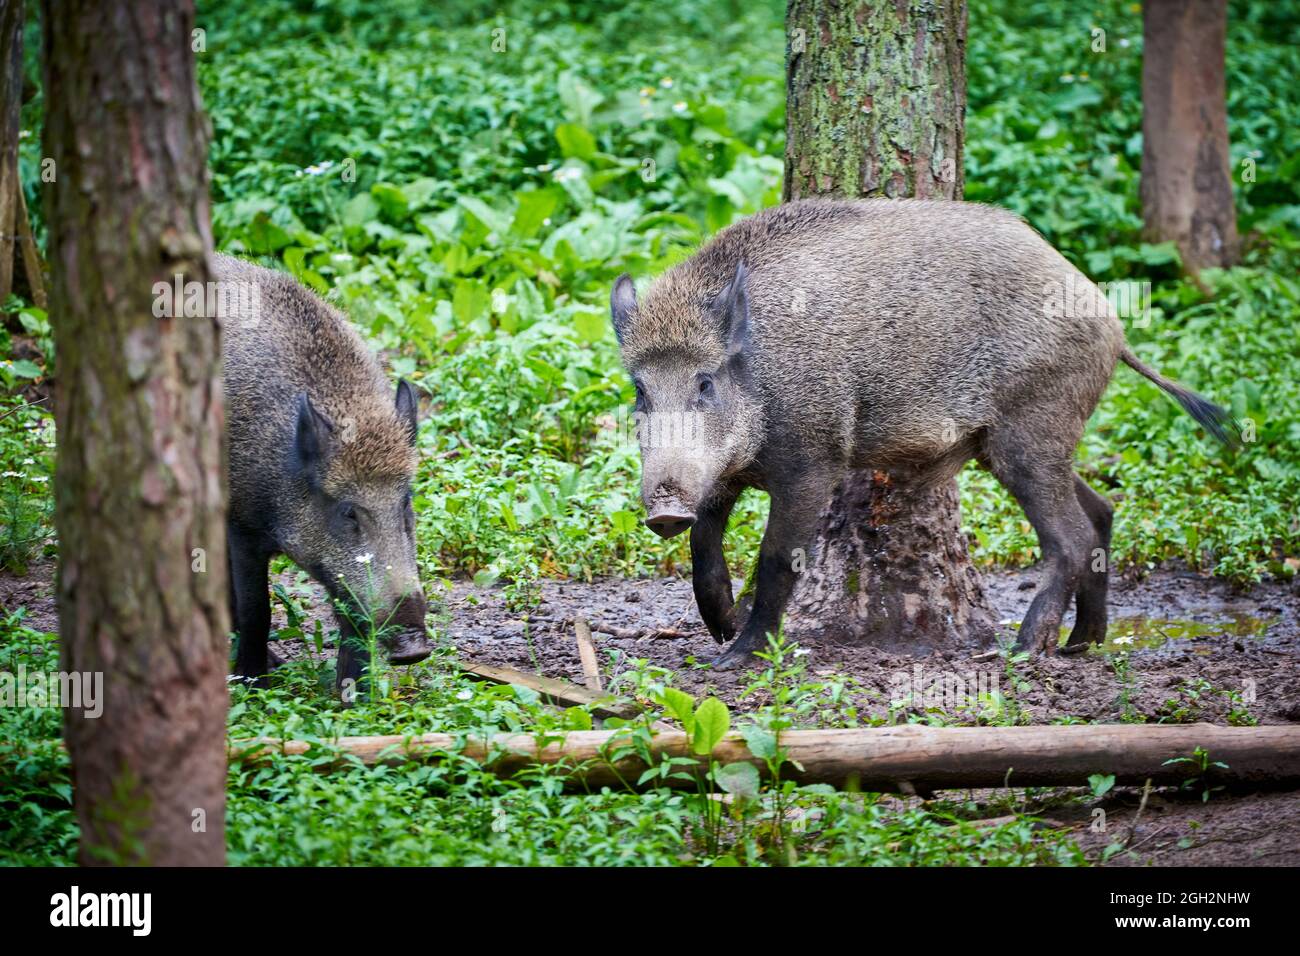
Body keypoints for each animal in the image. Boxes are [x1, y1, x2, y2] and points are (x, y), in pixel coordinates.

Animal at [215, 253, 431, 690]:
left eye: (406, 503)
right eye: (348, 511)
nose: (414, 648)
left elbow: (352, 623)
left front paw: (354, 696)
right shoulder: (241, 525)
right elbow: (256, 610)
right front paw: (254, 685)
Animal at [610, 199, 1234, 669]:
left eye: (705, 382)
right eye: (640, 389)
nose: (663, 509)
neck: (760, 375)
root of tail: (1112, 324)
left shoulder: (814, 461)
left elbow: (776, 556)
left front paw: (734, 658)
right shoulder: (721, 474)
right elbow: (703, 543)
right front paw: (721, 629)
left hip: (1031, 432)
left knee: (1072, 537)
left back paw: (1021, 651)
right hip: (1029, 444)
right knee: (1101, 509)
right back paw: (1083, 644)